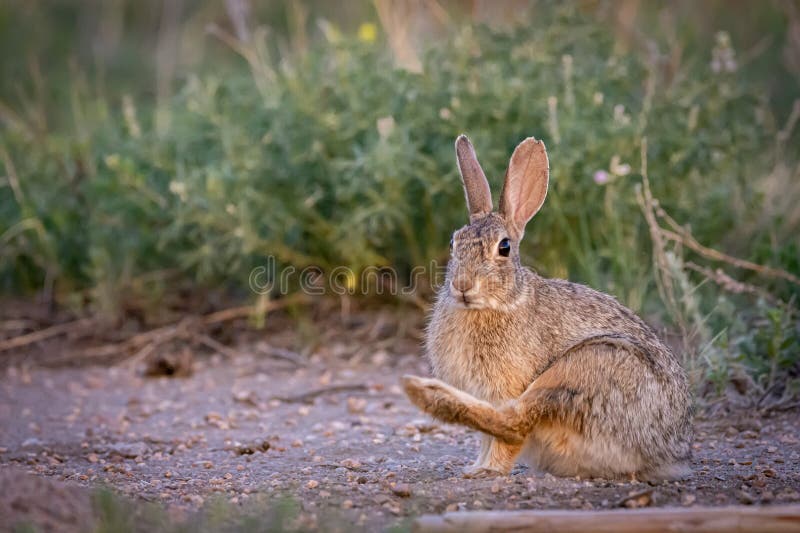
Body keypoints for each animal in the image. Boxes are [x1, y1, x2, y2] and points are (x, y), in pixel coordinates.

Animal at [401, 135, 692, 481]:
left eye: (504, 247)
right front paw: (476, 466)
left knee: (516, 424)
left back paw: (425, 393)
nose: (462, 285)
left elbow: (506, 439)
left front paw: (488, 470)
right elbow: (486, 438)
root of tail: (662, 452)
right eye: (452, 243)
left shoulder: (506, 387)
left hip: (587, 366)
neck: (502, 301)